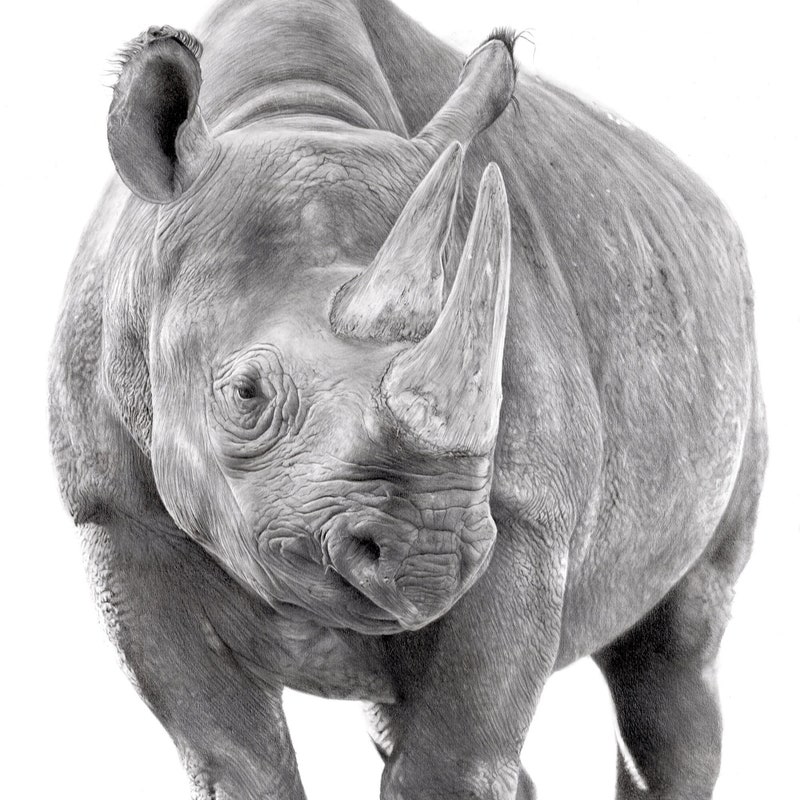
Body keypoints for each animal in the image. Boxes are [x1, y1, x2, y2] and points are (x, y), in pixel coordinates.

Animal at [49, 0, 767, 797]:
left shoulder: (525, 520)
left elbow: (455, 760)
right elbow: (232, 757)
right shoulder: (113, 515)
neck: (294, 111)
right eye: (245, 393)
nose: (432, 549)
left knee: (677, 649)